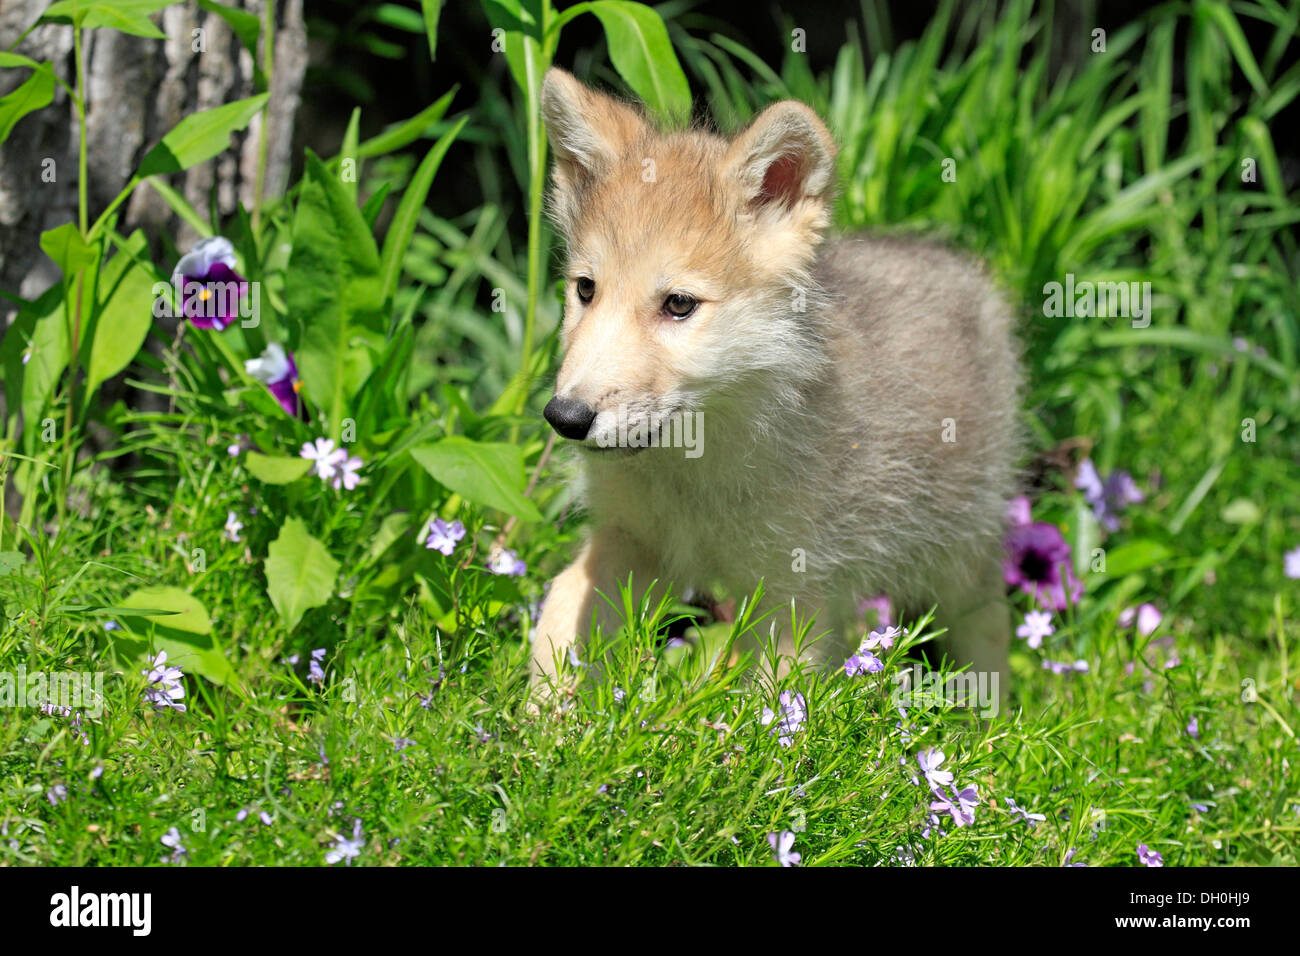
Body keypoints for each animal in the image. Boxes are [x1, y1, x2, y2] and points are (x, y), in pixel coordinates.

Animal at [531, 68, 1021, 699]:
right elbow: (561, 614)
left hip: (960, 548)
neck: (693, 469)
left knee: (988, 628)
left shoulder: (792, 595)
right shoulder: (627, 540)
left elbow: (770, 710)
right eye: (586, 290)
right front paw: (542, 720)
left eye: (679, 304)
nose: (564, 417)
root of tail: (962, 270)